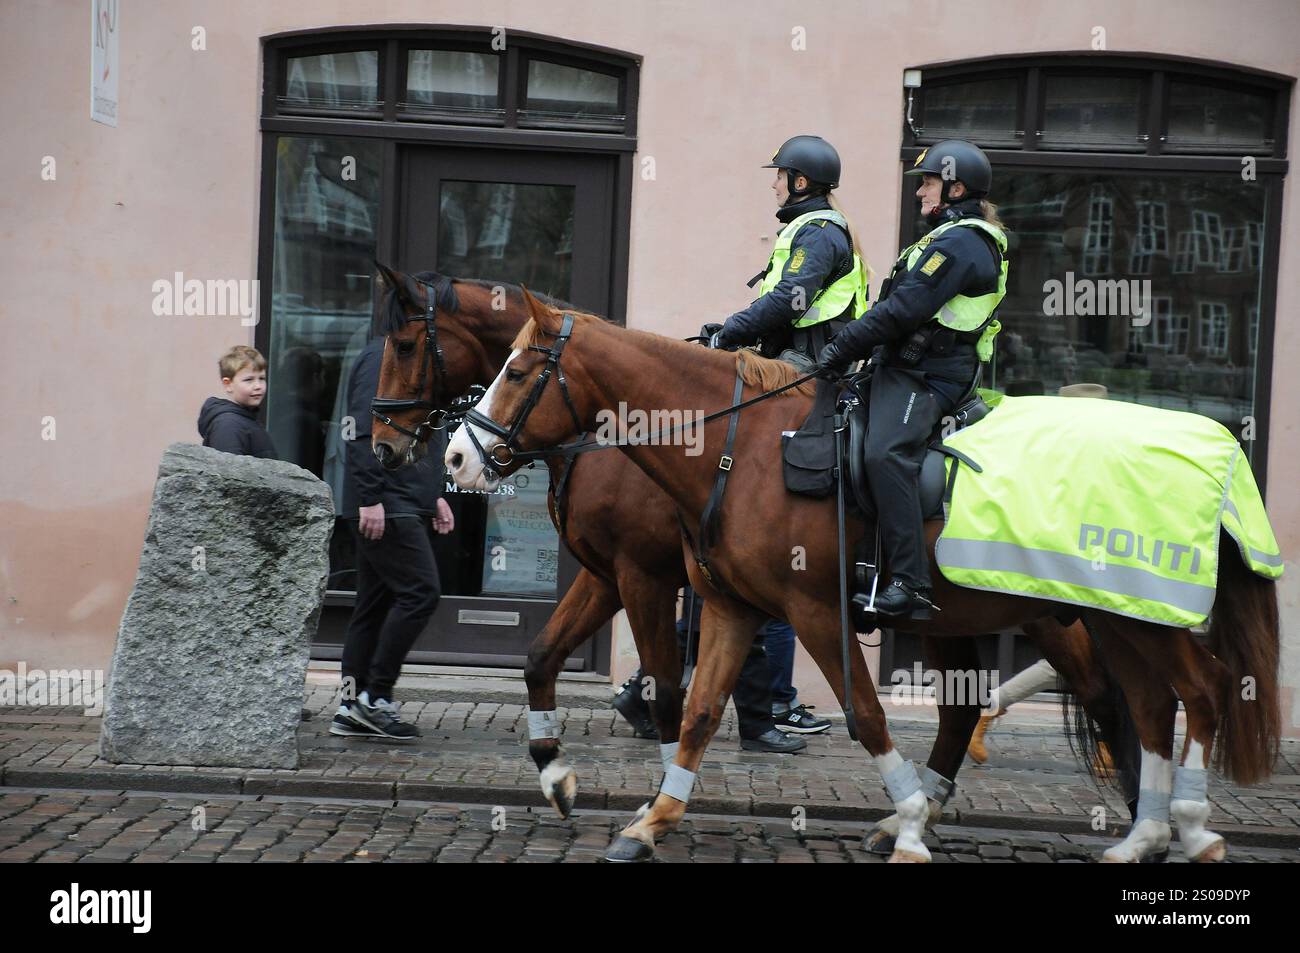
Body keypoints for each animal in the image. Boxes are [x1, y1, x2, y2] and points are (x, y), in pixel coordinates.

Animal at [443, 292, 1280, 864]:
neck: (740, 446)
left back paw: (1187, 826)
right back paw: (1141, 832)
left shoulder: (795, 607)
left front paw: (908, 820)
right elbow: (697, 709)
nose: (455, 455)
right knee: (1136, 704)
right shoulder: (725, 604)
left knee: (1195, 693)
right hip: (1100, 615)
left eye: (520, 370)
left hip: (1119, 615)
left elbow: (862, 713)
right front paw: (648, 817)